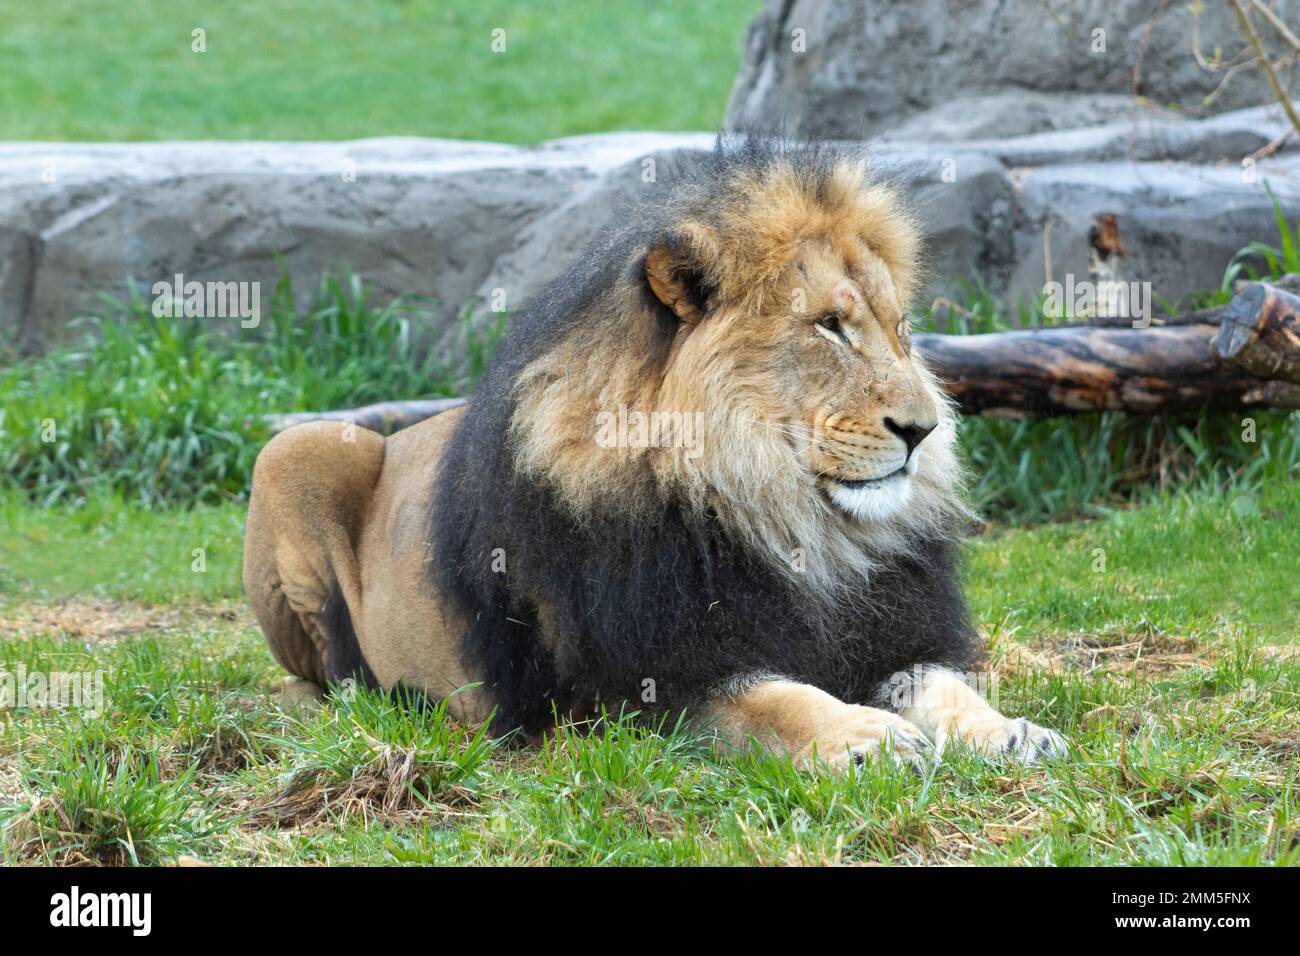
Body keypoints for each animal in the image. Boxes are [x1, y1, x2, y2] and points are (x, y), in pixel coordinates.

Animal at [243, 140, 1067, 771]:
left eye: (900, 331)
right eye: (829, 326)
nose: (924, 430)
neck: (787, 518)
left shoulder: (896, 631)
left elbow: (942, 685)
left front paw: (1011, 733)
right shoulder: (634, 687)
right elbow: (775, 700)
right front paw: (862, 735)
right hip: (298, 444)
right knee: (319, 677)